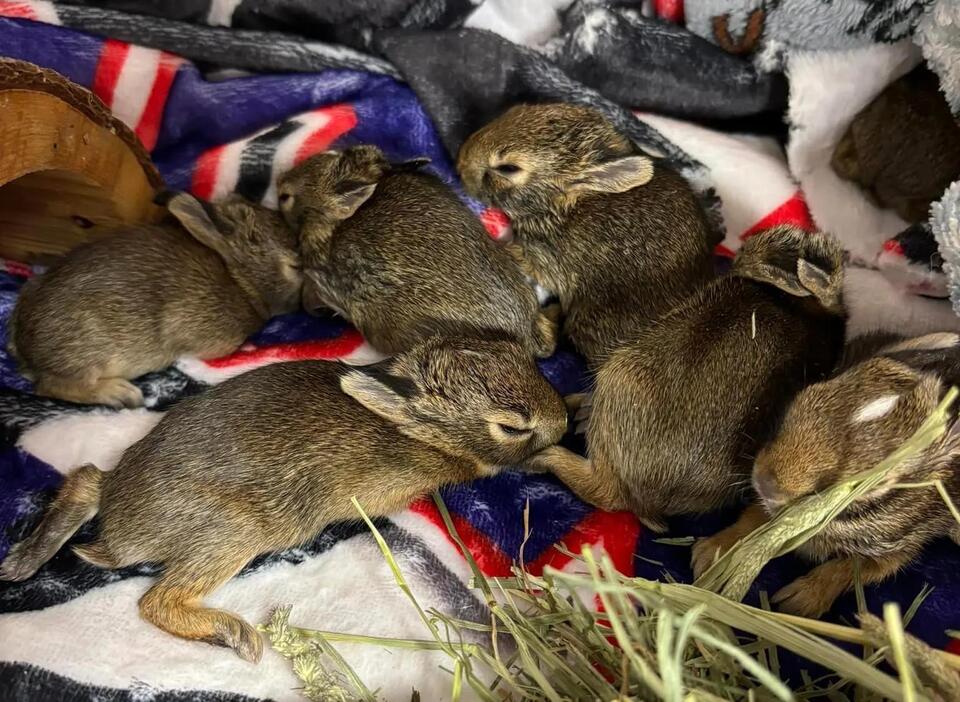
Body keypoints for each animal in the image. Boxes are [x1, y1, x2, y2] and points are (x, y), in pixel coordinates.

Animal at [0, 335, 568, 662]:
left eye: (523, 359)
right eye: (511, 425)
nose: (563, 419)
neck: (419, 429)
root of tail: (117, 532)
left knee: (86, 479)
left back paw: (21, 561)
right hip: (236, 534)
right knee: (156, 602)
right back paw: (235, 636)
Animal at [8, 193, 301, 409]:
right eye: (295, 267)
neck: (240, 280)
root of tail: (25, 349)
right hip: (86, 356)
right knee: (52, 386)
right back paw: (121, 394)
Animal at [693, 331, 960, 618]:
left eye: (871, 483)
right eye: (805, 396)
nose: (765, 482)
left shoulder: (895, 547)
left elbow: (850, 569)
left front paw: (798, 603)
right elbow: (752, 518)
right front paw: (710, 554)